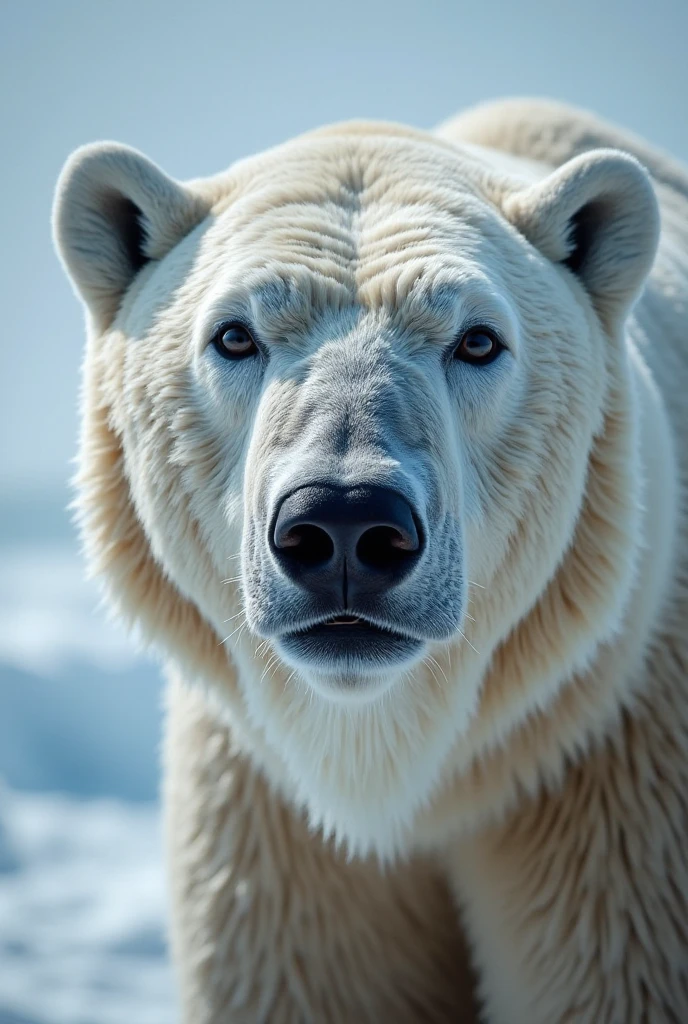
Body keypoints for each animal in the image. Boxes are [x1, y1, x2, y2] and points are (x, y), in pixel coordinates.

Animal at [53, 97, 688, 1023]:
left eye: (479, 340)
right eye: (233, 335)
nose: (345, 527)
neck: (397, 763)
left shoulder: (611, 779)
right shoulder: (269, 822)